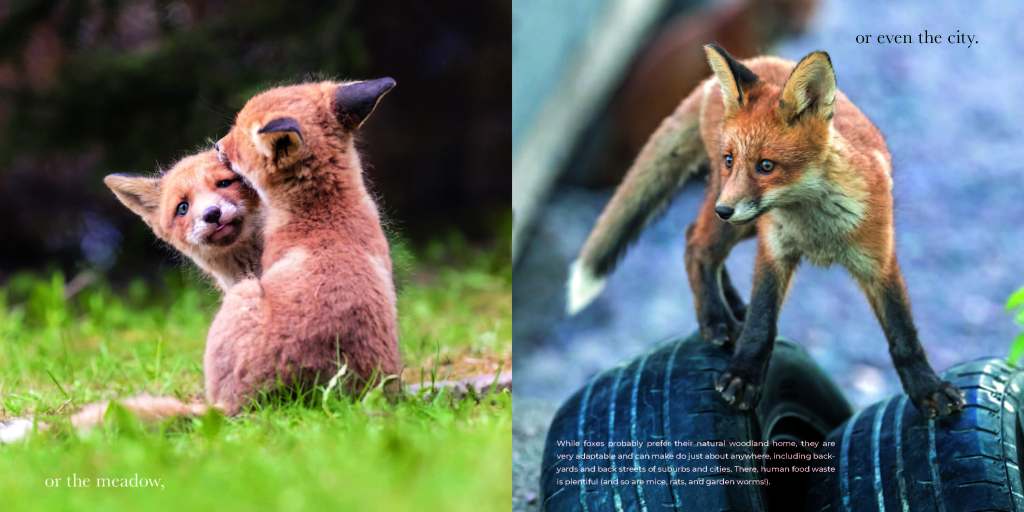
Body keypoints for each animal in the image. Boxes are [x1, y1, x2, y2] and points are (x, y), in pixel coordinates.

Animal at [567, 44, 965, 418]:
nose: (724, 211)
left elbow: (903, 334)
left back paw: (729, 304)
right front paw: (744, 375)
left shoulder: (877, 260)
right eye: (732, 159)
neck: (814, 227)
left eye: (766, 166)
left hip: (741, 221)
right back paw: (715, 317)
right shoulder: (774, 249)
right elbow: (762, 323)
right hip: (736, 215)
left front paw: (928, 388)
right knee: (698, 243)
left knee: (696, 237)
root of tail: (754, 61)